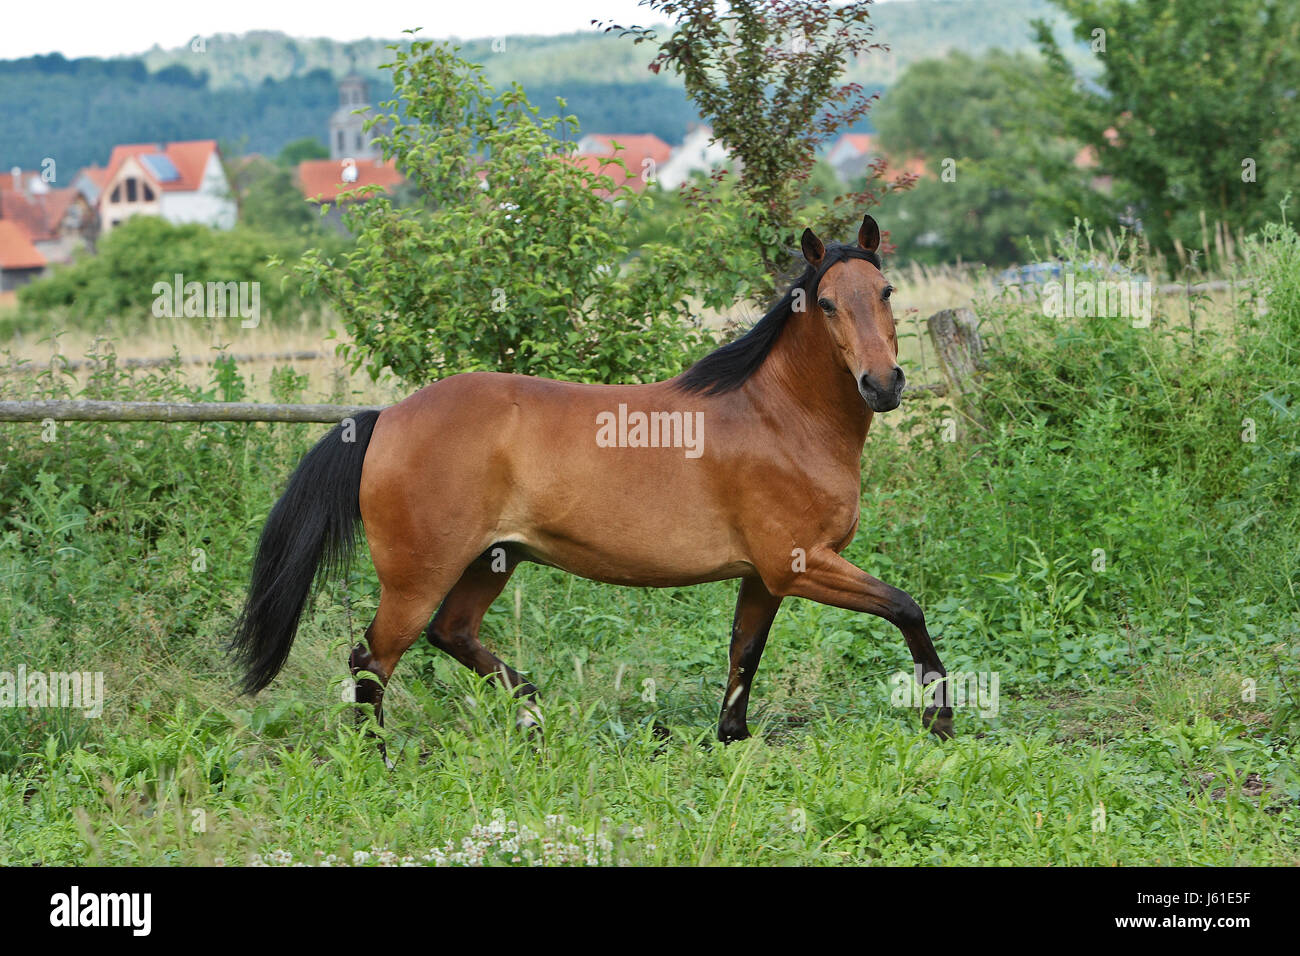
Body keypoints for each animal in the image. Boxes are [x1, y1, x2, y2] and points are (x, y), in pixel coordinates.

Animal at [231, 215, 954, 745]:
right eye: (826, 302)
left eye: (885, 293)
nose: (883, 383)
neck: (779, 417)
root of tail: (386, 419)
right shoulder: (800, 563)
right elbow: (906, 607)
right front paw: (940, 717)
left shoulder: (764, 575)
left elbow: (743, 653)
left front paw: (732, 738)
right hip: (418, 576)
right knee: (372, 661)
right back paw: (377, 759)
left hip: (494, 559)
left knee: (450, 633)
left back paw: (530, 710)